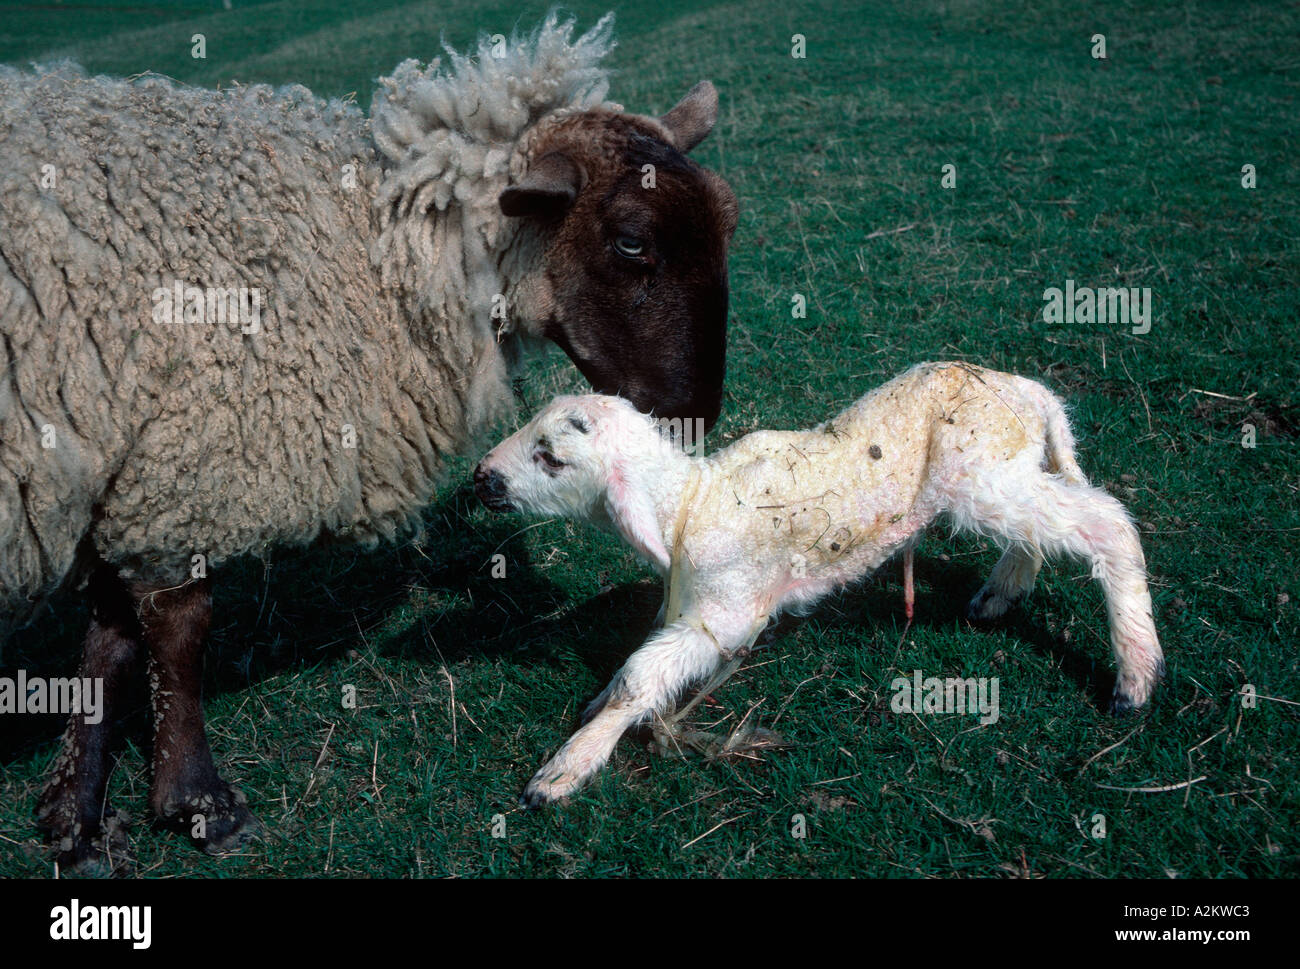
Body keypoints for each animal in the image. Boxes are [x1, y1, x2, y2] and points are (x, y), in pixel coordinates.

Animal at [0, 13, 739, 871]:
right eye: (630, 242)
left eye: (727, 220)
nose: (694, 415)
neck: (376, 253)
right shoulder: (191, 455)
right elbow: (177, 632)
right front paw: (198, 802)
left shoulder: (135, 462)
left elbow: (109, 642)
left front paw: (74, 816)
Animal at [475, 362, 1166, 806]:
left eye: (550, 457)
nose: (482, 477)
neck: (687, 503)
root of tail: (1034, 394)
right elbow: (635, 666)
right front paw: (595, 712)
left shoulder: (730, 614)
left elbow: (641, 678)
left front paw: (566, 768)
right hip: (1001, 475)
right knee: (1039, 533)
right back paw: (1000, 595)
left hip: (985, 471)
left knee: (1109, 527)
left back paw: (1135, 675)